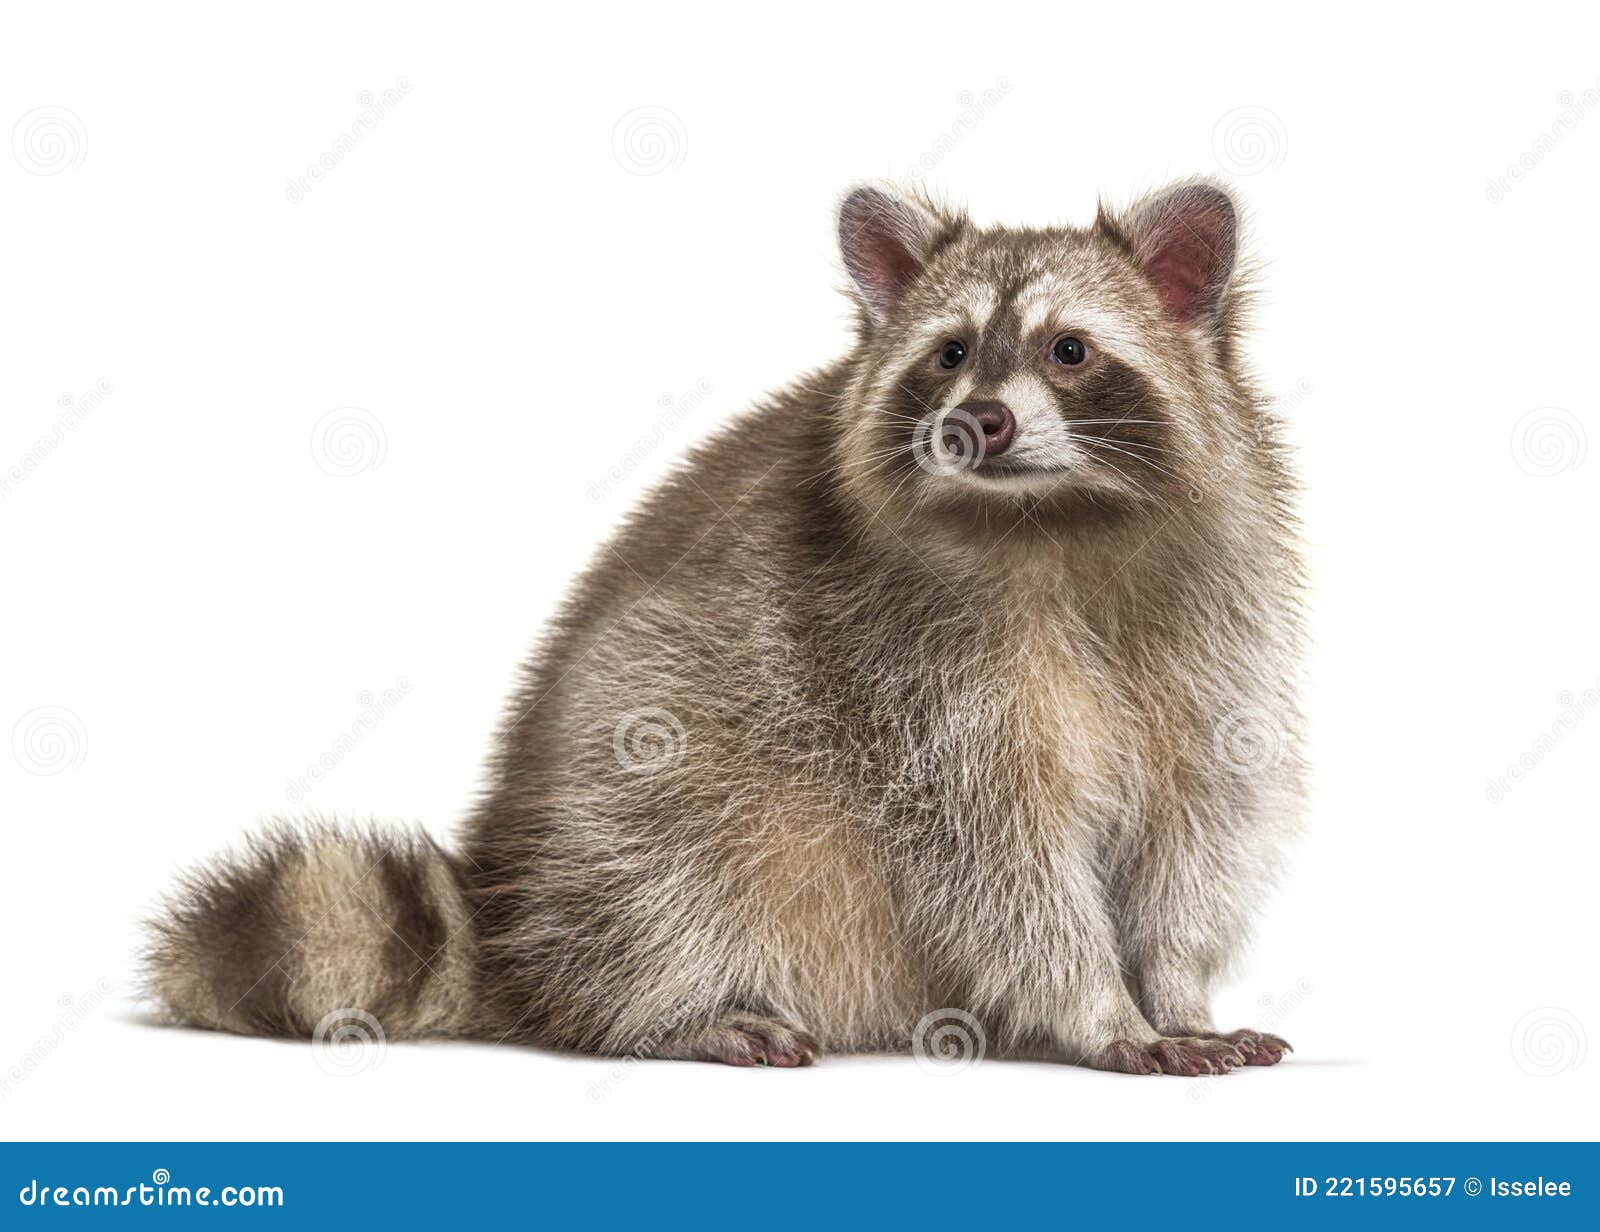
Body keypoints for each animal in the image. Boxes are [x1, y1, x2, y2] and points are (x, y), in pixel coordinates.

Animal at [144, 180, 1303, 1075]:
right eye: (948, 353)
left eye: (1070, 349)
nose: (973, 422)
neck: (1048, 519)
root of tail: (511, 908)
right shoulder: (902, 663)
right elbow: (995, 862)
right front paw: (1102, 1007)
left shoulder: (1213, 628)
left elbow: (1194, 829)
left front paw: (1175, 987)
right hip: (643, 779)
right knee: (672, 861)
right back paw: (668, 1010)